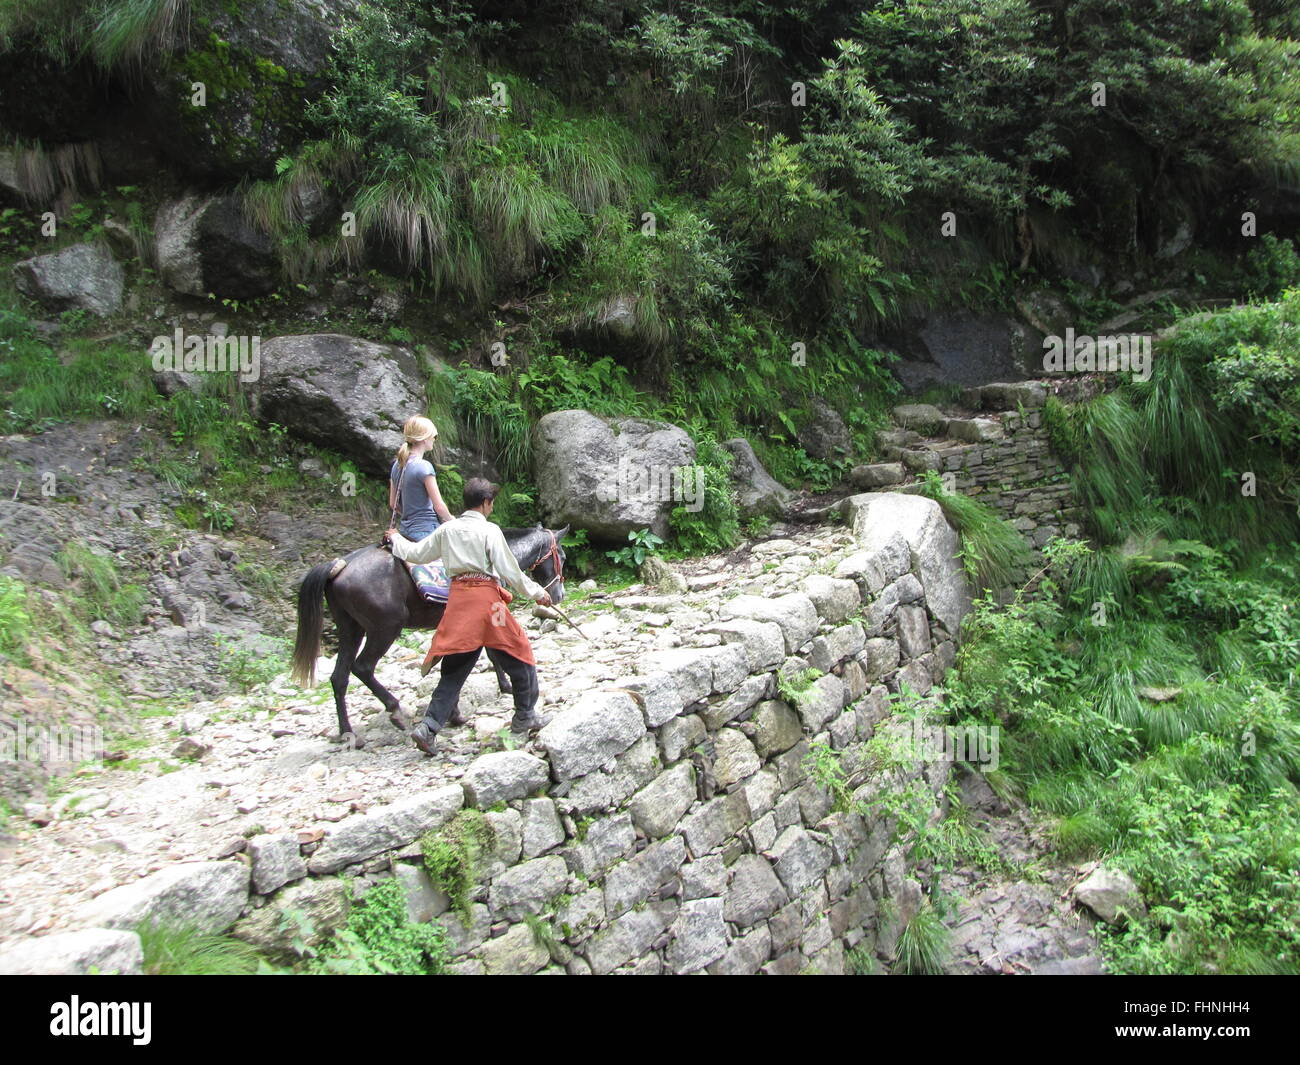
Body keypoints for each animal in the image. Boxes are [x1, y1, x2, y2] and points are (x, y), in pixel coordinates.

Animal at [290, 524, 568, 747]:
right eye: (562, 557)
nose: (558, 595)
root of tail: (340, 566)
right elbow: (484, 657)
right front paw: (502, 688)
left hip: (350, 629)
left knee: (339, 678)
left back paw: (348, 733)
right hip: (384, 628)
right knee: (363, 667)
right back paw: (394, 710)